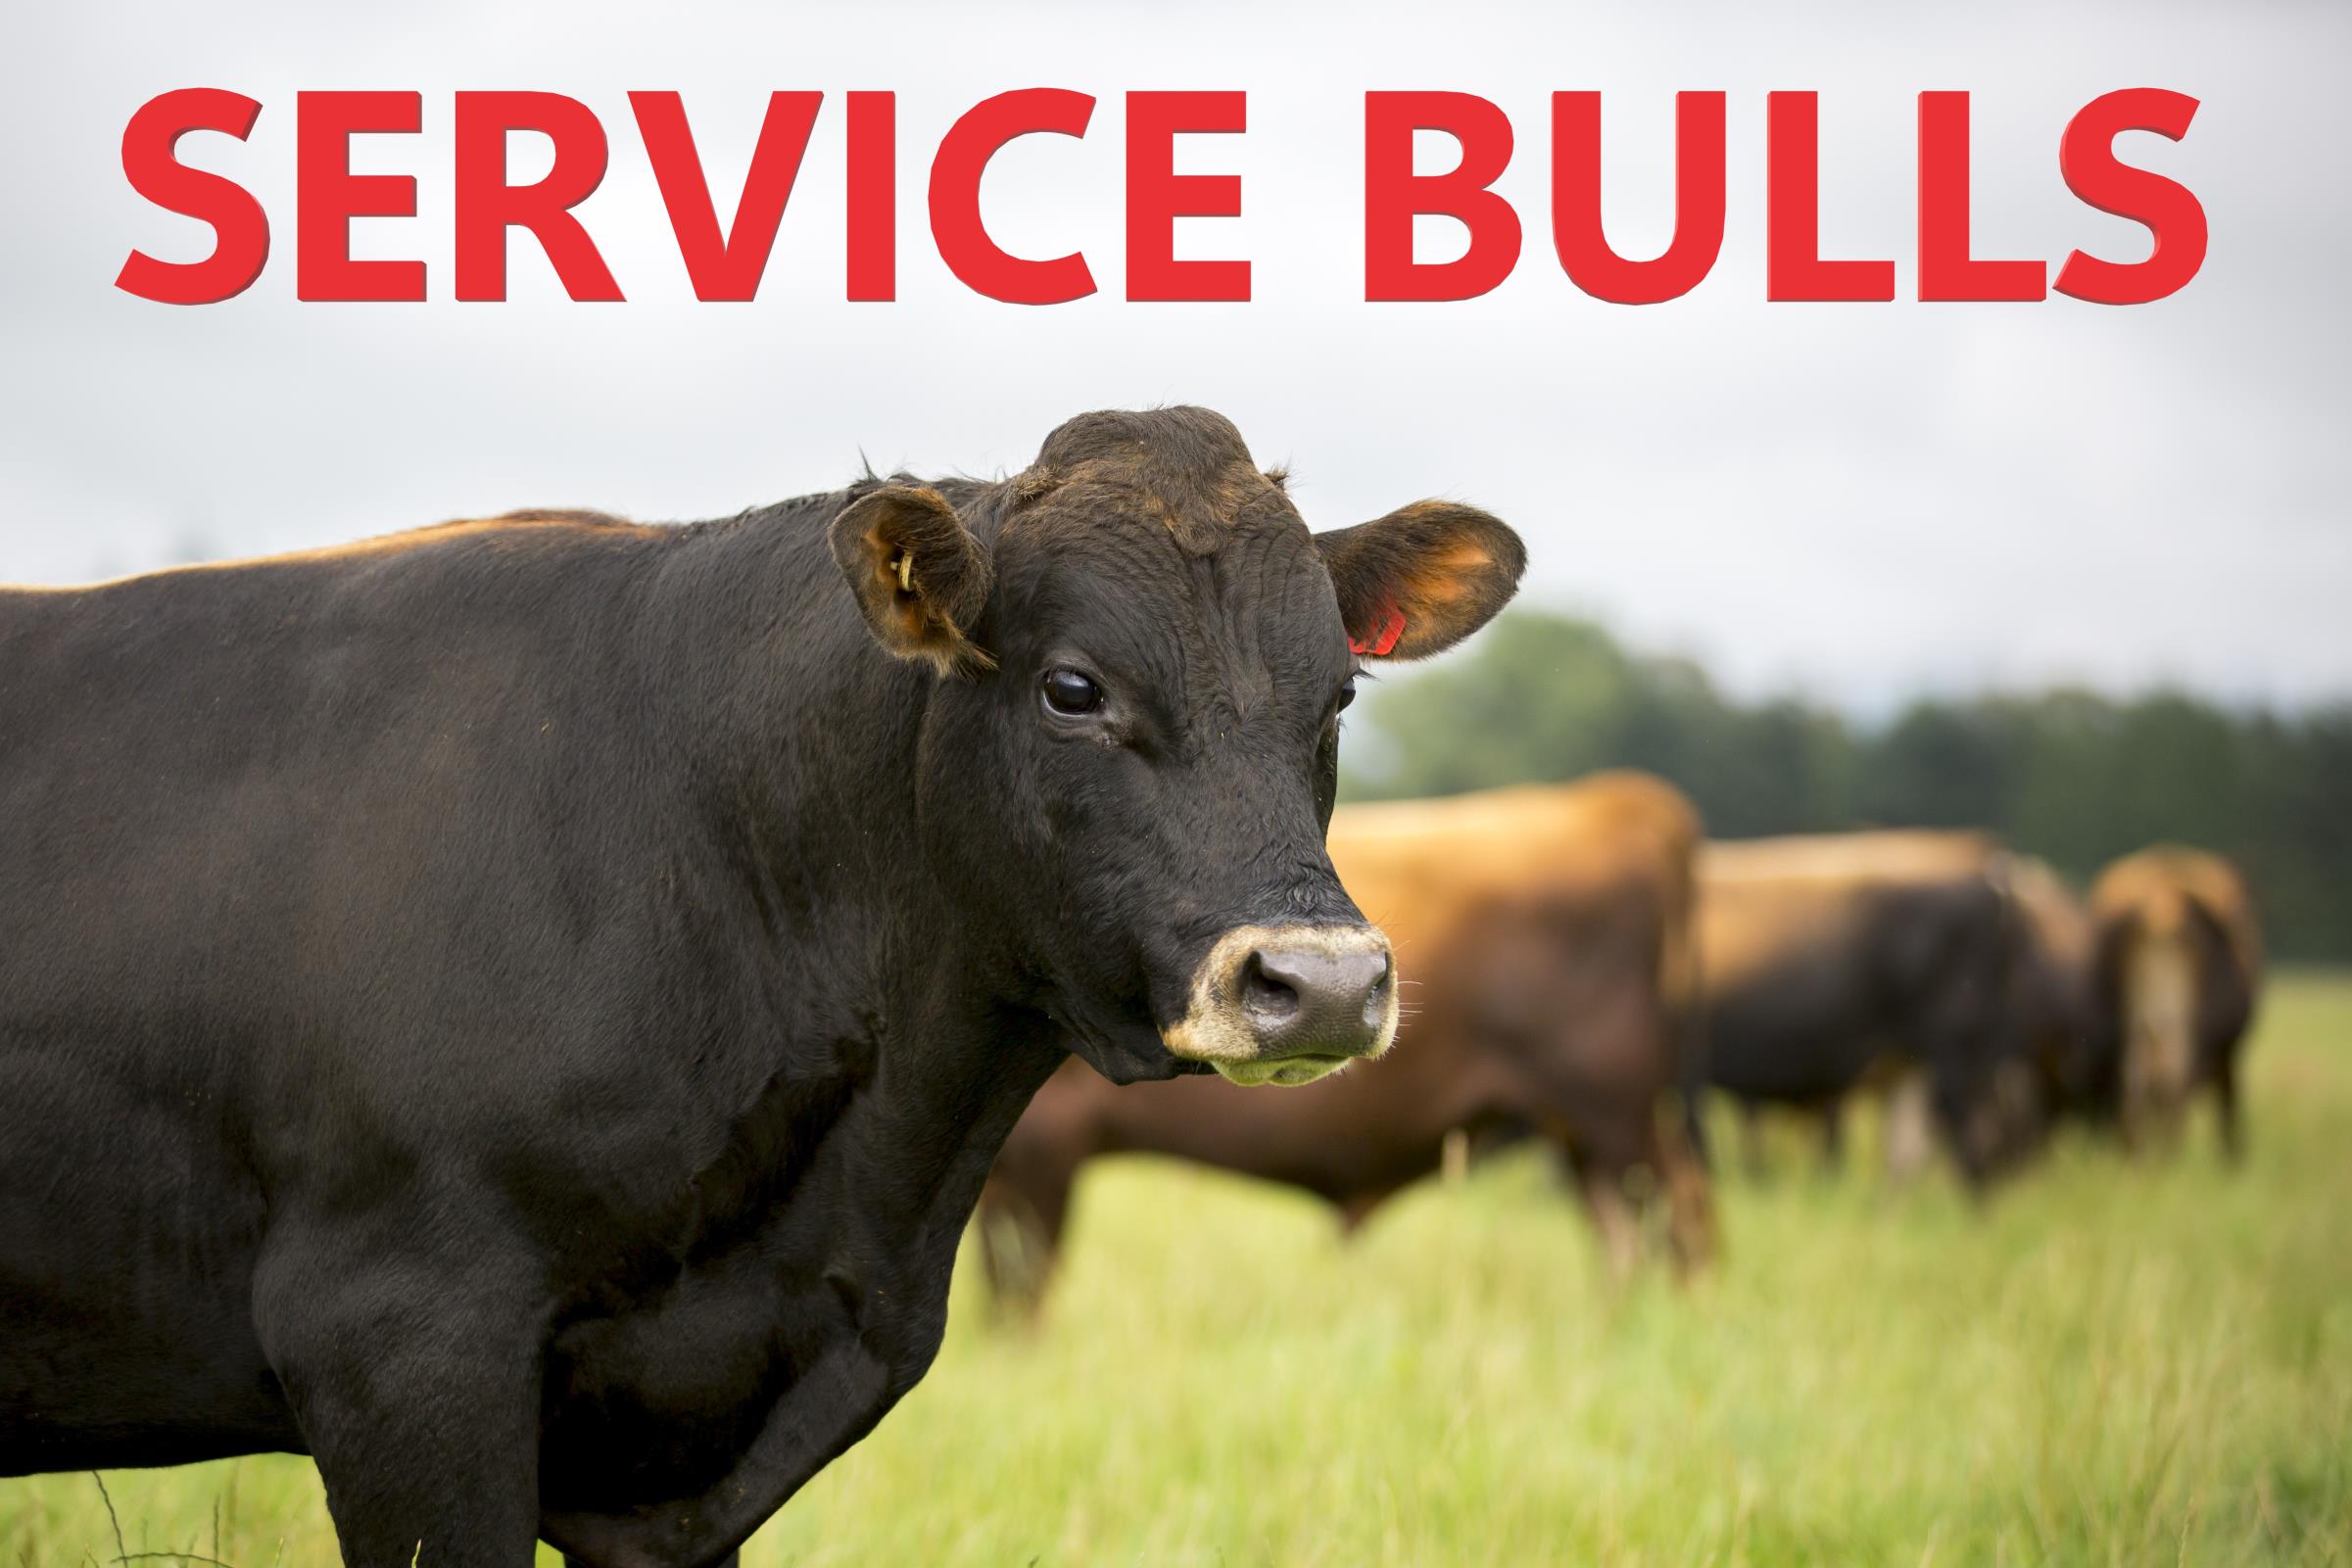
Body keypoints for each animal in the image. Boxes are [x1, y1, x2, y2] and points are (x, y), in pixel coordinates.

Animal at [978, 770, 1717, 1310]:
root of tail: (1610, 798)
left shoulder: (1047, 1144)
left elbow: (1018, 1294)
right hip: (1584, 1129)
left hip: (1612, 1107)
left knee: (1679, 1215)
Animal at [2085, 845, 2263, 1159]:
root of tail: (2160, 909)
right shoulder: (2228, 1052)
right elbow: (2228, 1114)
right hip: (2183, 1031)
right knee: (2171, 1080)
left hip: (2138, 1027)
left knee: (2138, 1081)